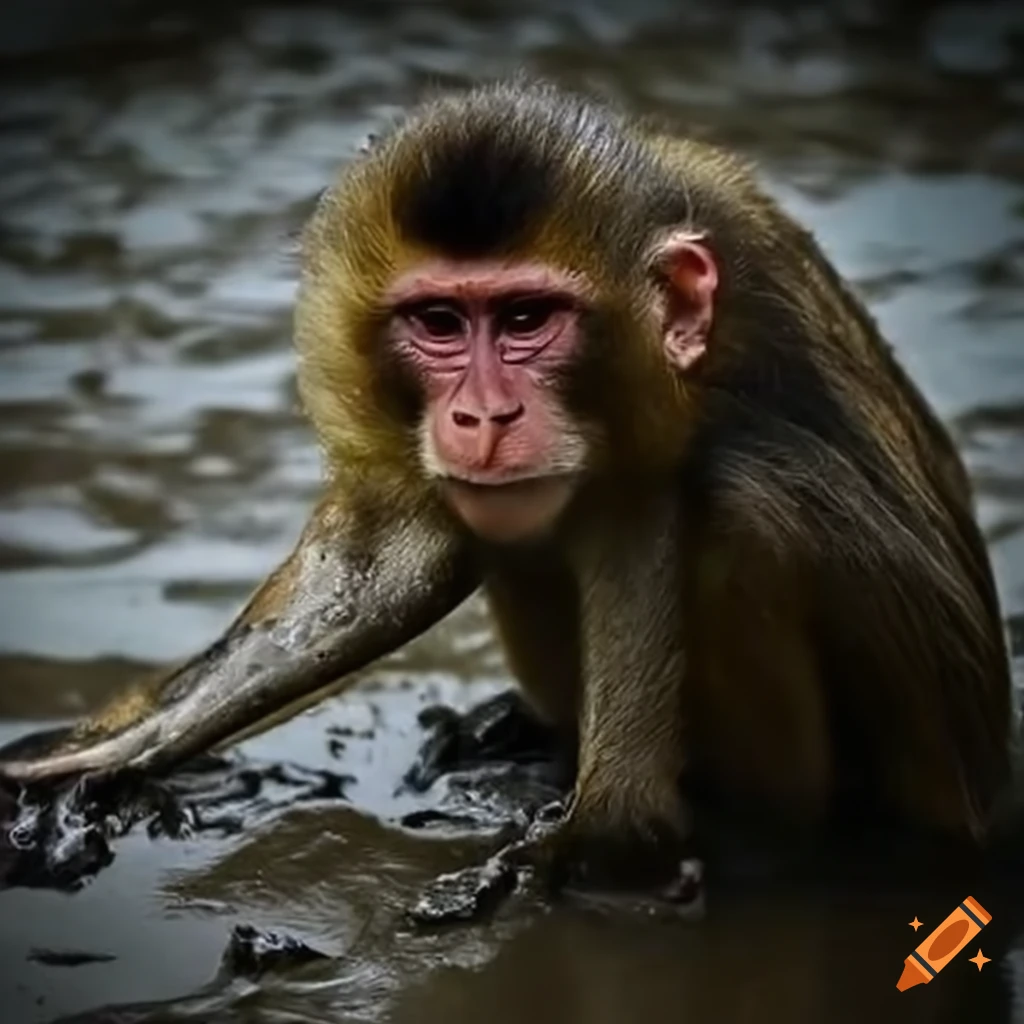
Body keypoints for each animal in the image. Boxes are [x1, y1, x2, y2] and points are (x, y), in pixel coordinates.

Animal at [0, 79, 1014, 895]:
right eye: (441, 323)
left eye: (526, 319)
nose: (482, 416)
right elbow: (389, 549)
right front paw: (128, 739)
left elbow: (648, 516)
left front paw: (606, 842)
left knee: (744, 502)